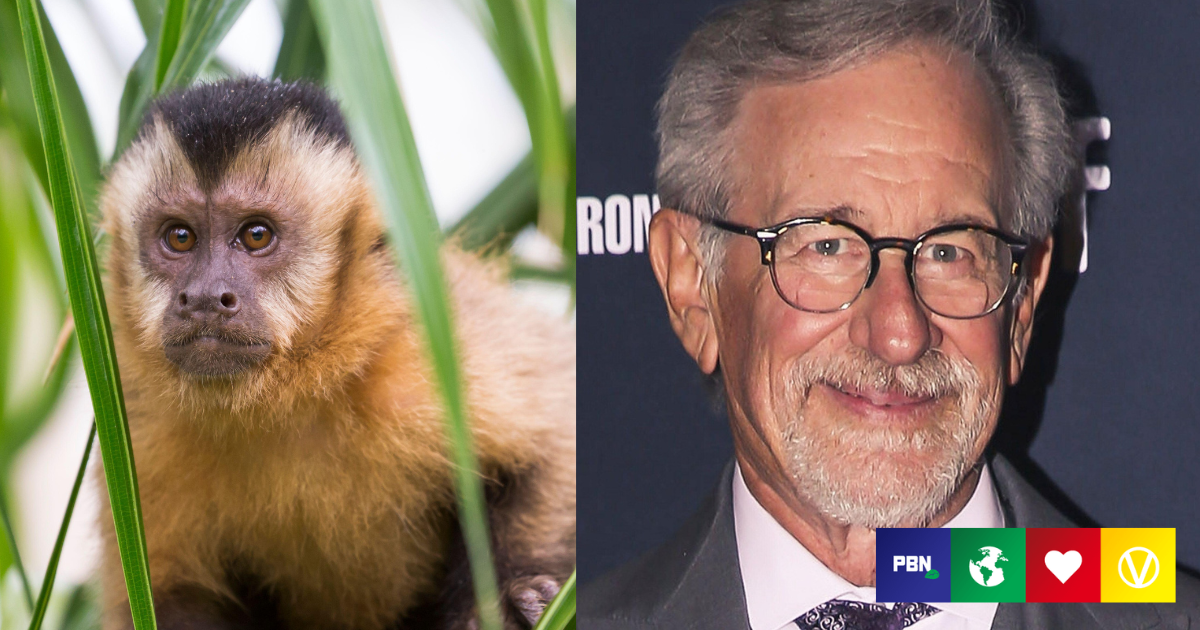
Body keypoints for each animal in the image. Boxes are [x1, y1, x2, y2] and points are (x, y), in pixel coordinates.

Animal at [93, 78, 575, 630]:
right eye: (179, 237)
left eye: (256, 235)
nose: (205, 297)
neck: (289, 393)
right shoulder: (139, 421)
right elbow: (168, 594)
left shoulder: (422, 353)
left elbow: (553, 446)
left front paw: (510, 598)